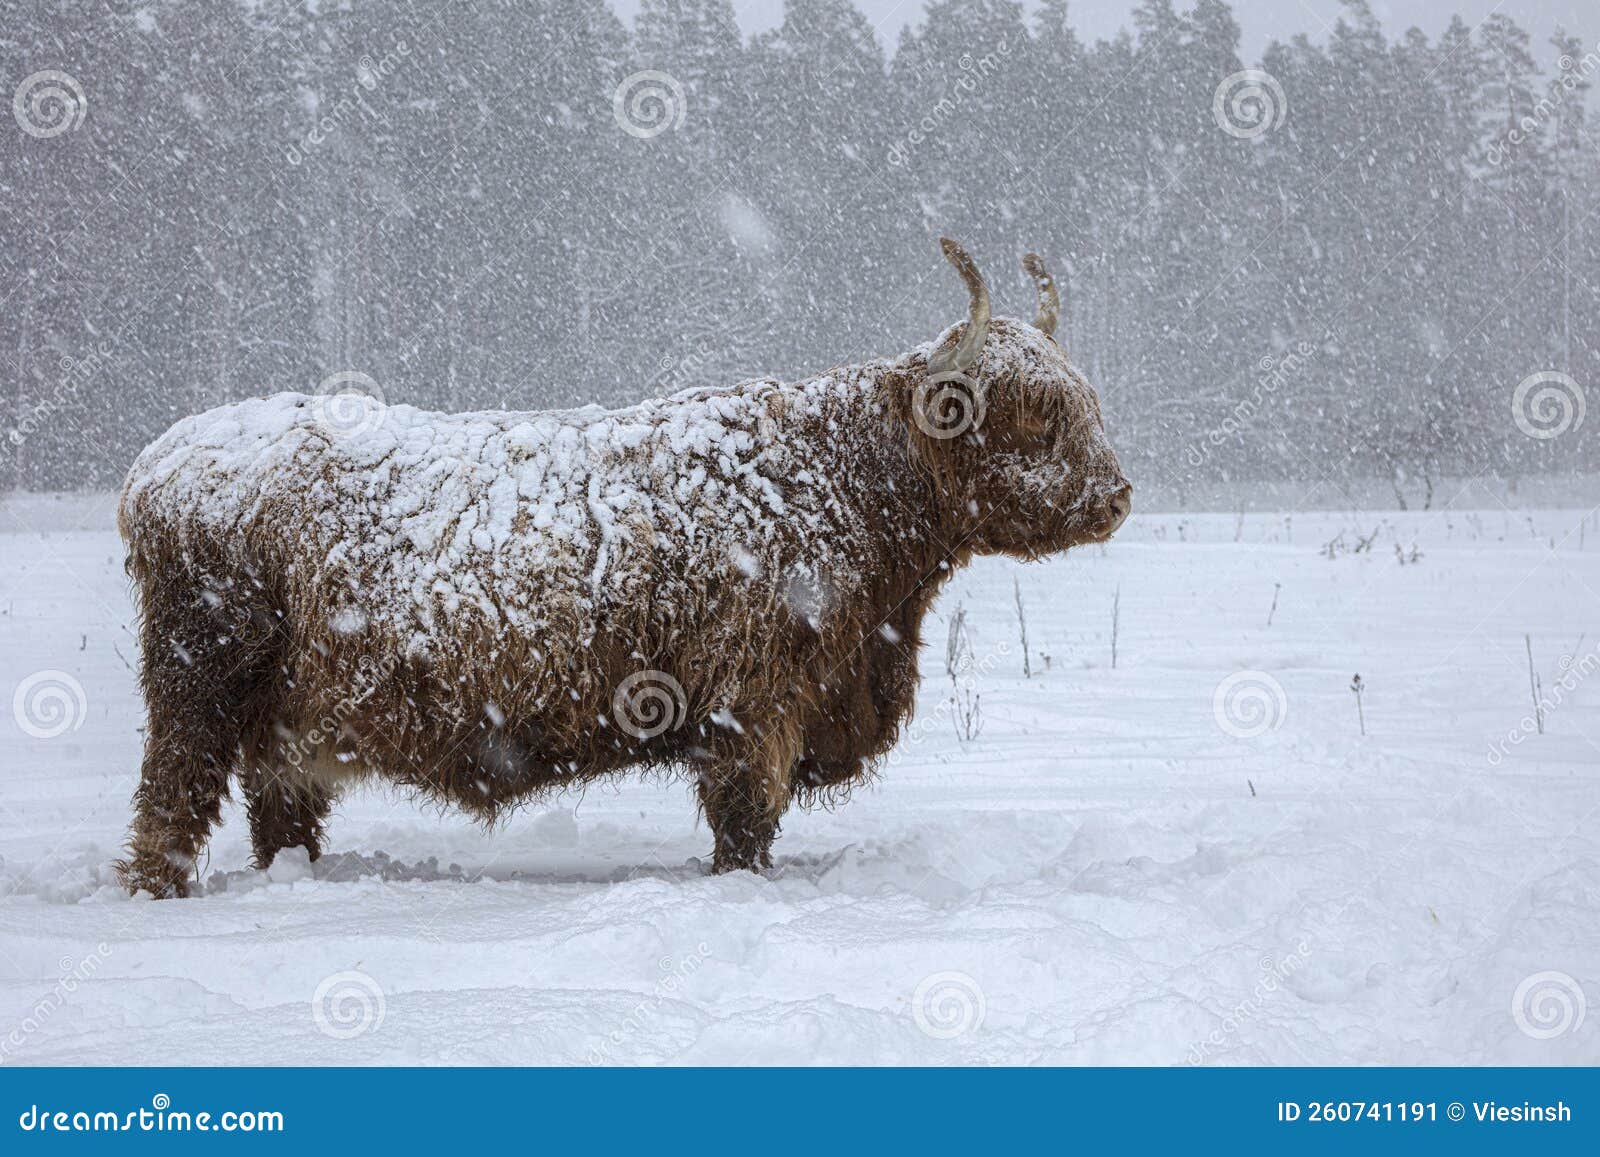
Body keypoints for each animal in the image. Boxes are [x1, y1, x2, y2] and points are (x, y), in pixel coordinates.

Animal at [115, 239, 1131, 897]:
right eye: (1032, 413)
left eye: (1083, 401)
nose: (1117, 495)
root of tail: (161, 459)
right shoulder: (754, 699)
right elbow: (745, 819)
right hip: (201, 677)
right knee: (173, 797)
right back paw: (160, 888)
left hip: (287, 710)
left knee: (277, 805)